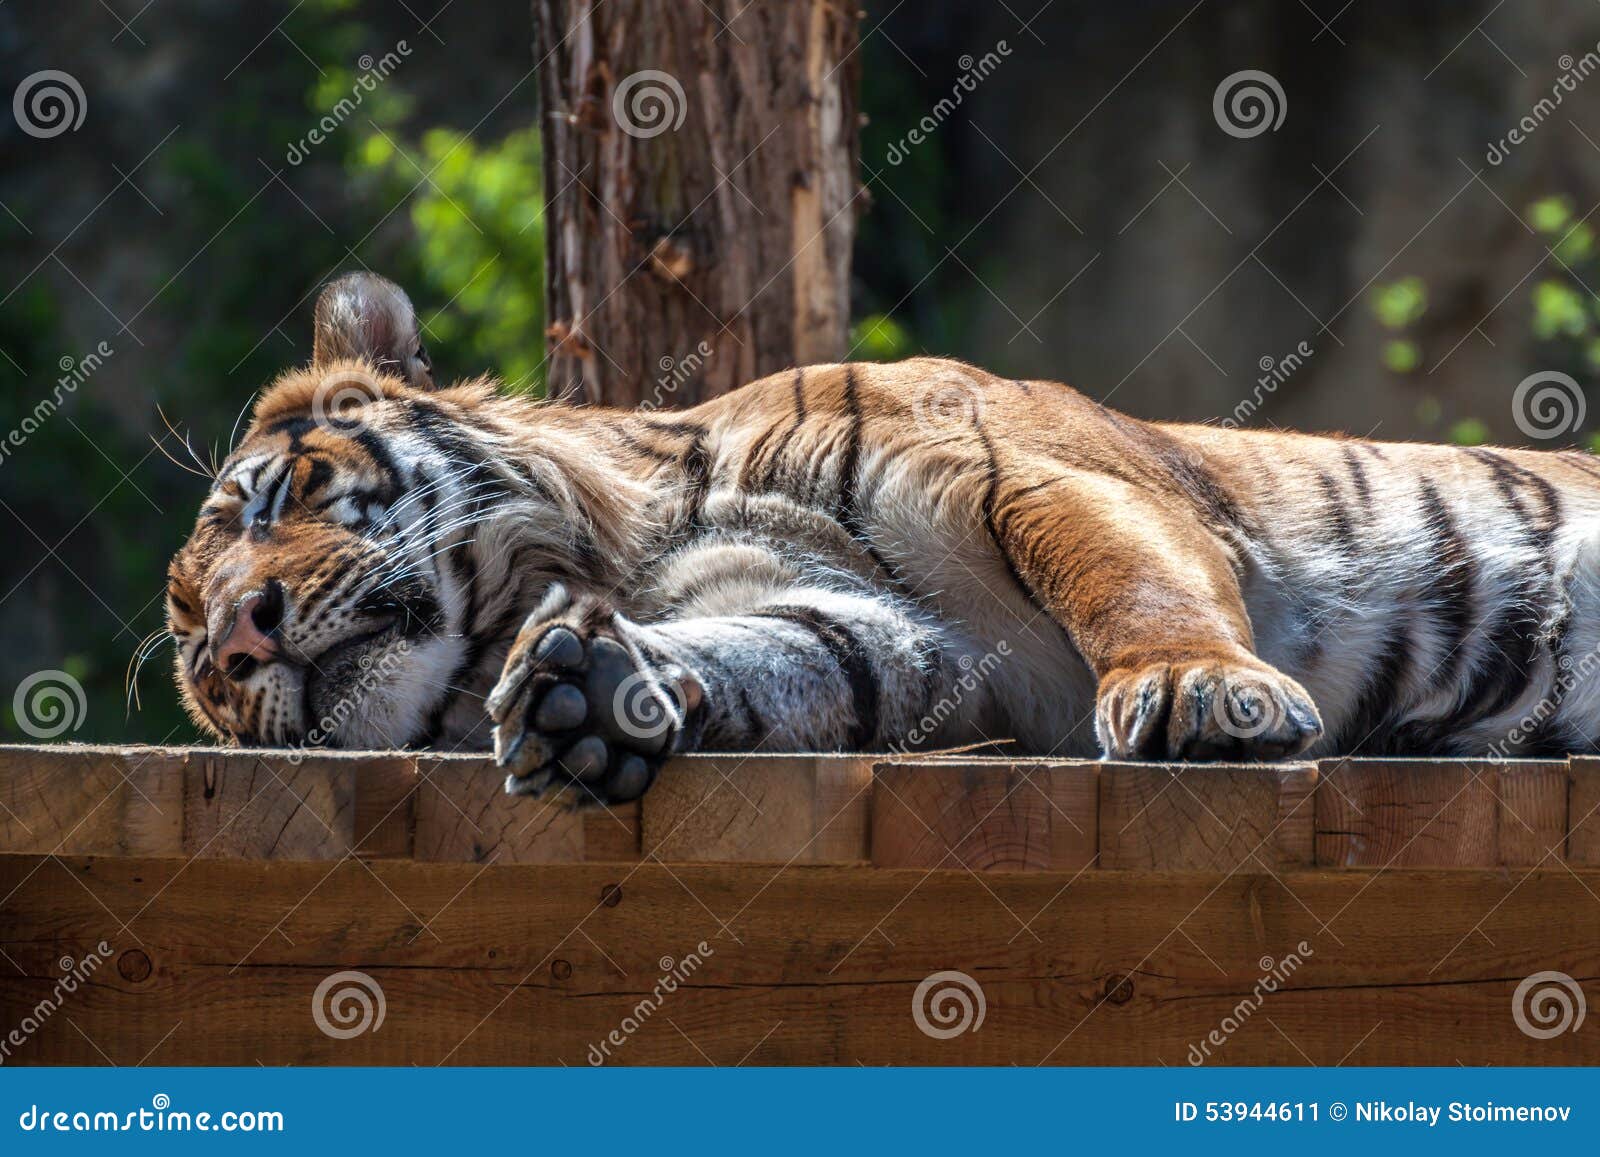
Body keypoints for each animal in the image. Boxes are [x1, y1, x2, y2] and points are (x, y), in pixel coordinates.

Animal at [167, 271, 1600, 804]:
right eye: (187, 656)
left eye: (274, 499)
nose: (236, 643)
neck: (623, 545)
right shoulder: (912, 651)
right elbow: (790, 654)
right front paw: (588, 701)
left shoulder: (1020, 469)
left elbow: (1126, 585)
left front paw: (1201, 693)